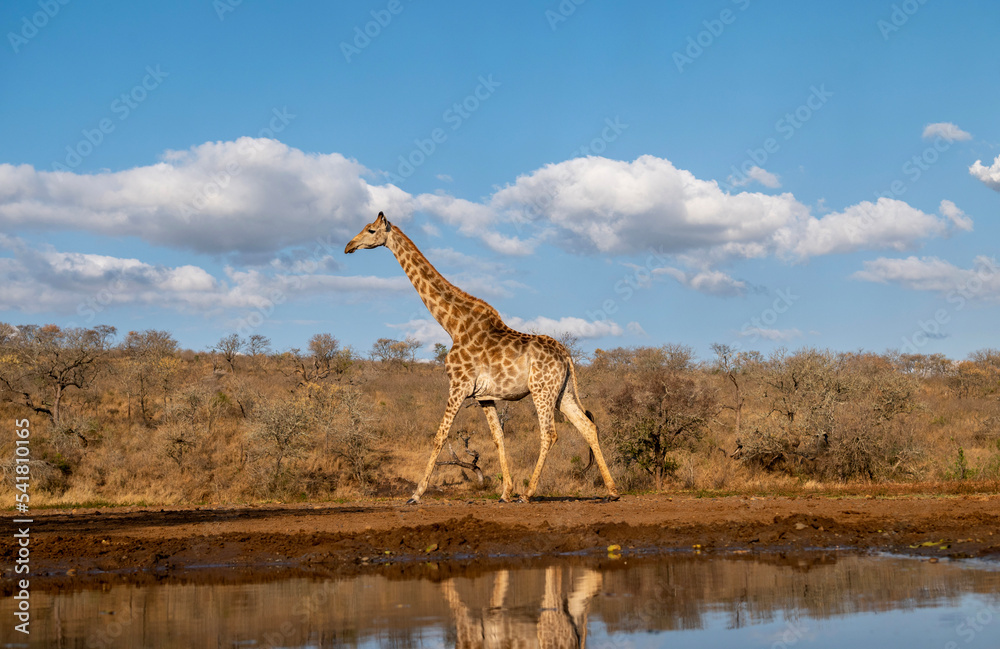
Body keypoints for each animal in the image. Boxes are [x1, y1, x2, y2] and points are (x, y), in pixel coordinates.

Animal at [345, 212, 619, 503]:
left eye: (370, 230)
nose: (349, 246)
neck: (453, 324)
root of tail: (567, 356)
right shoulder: (484, 396)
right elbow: (498, 437)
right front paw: (505, 492)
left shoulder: (458, 385)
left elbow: (440, 436)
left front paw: (416, 494)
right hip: (562, 392)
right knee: (587, 426)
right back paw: (612, 491)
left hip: (541, 390)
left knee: (549, 434)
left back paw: (528, 493)